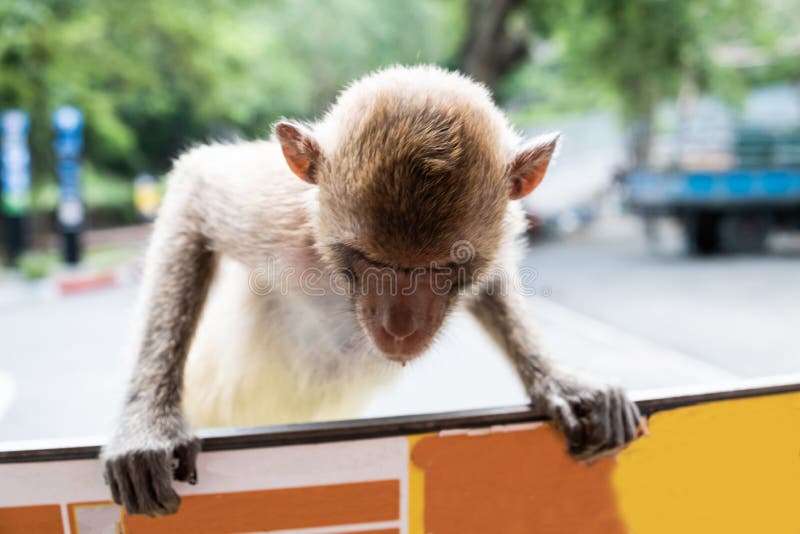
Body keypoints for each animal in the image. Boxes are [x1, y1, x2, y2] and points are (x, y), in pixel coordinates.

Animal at [102, 65, 644, 517]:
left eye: (446, 265)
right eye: (368, 259)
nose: (399, 326)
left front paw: (557, 380)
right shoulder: (280, 217)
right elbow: (194, 194)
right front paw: (148, 423)